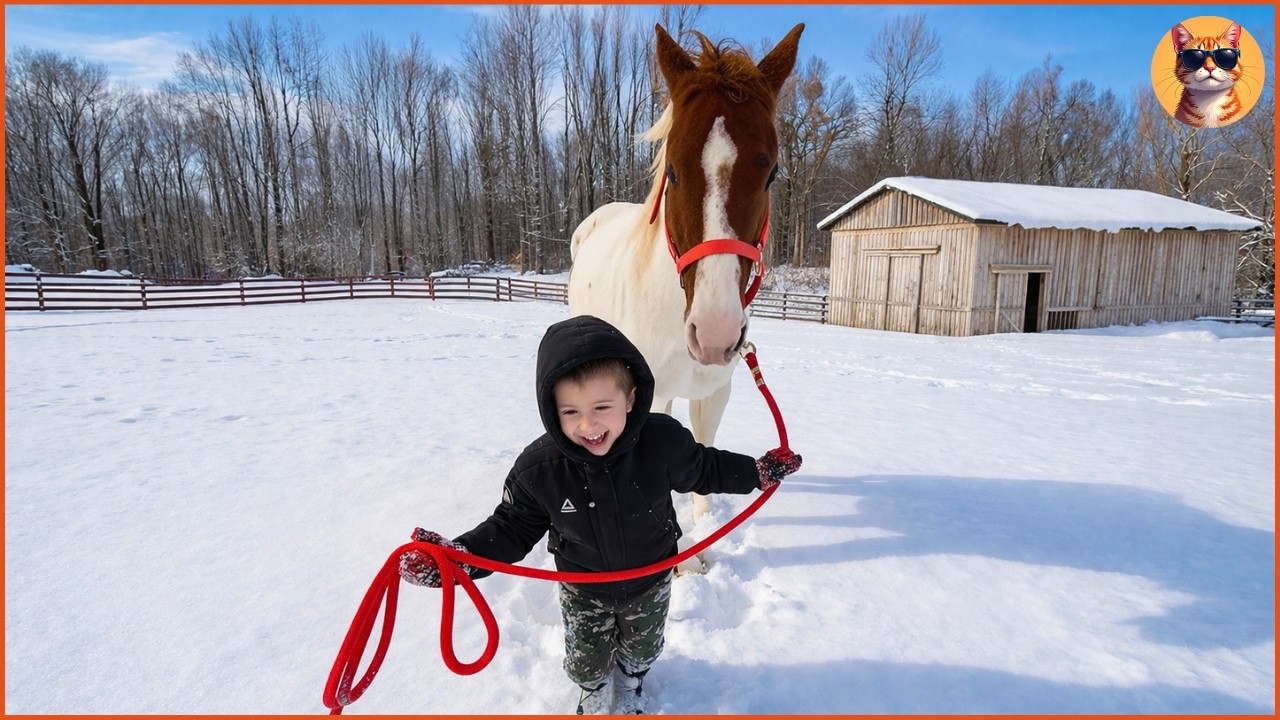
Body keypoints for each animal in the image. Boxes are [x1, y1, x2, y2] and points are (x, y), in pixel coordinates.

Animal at [567, 23, 803, 528]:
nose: (715, 334)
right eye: (672, 170)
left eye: (772, 172)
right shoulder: (649, 397)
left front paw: (704, 528)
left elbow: (701, 456)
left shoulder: (714, 392)